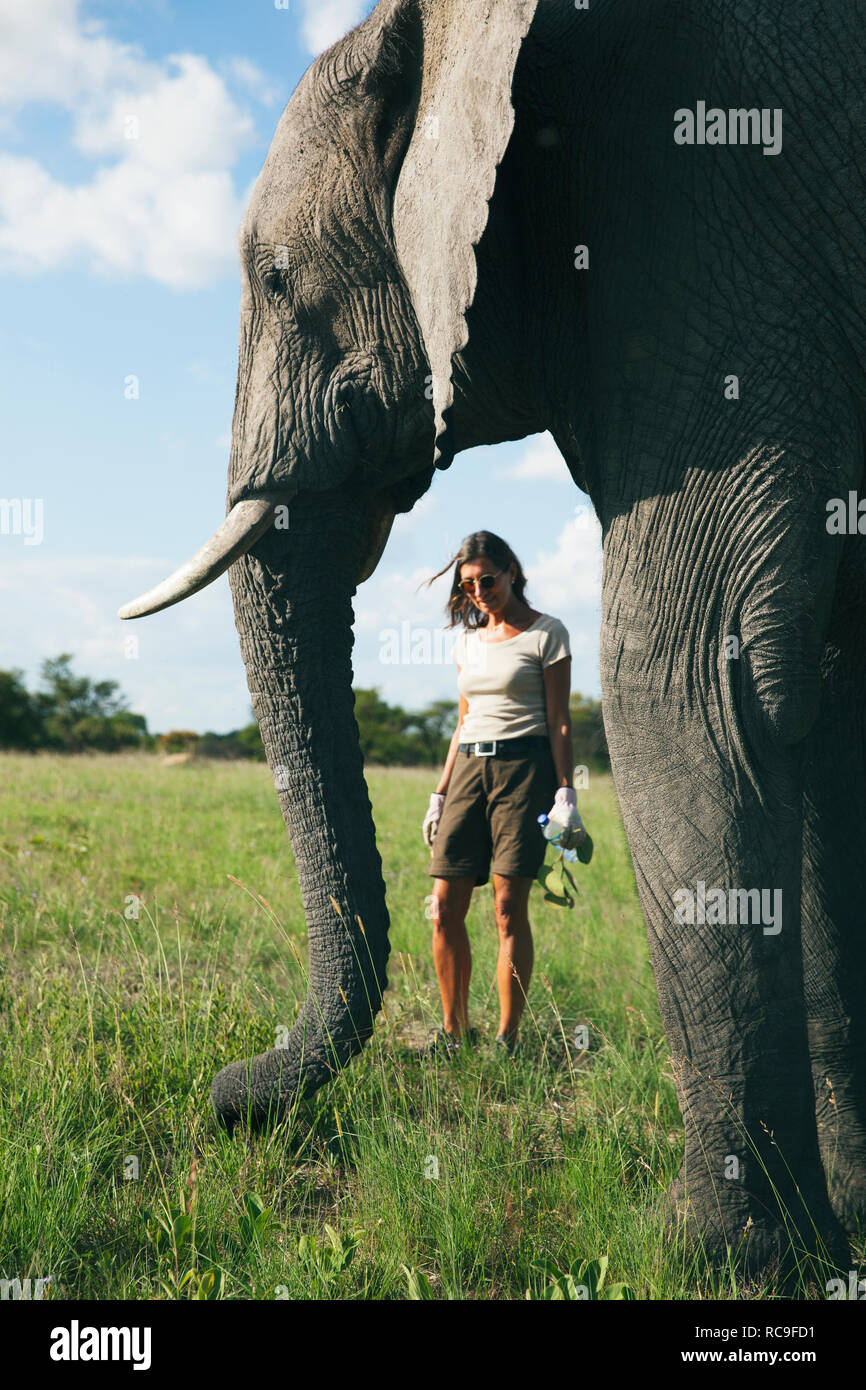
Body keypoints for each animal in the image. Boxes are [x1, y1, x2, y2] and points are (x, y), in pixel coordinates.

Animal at [119, 0, 866, 1280]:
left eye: (275, 275)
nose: (228, 1095)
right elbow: (807, 689)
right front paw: (839, 1228)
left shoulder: (714, 179)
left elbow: (688, 665)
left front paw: (713, 1255)